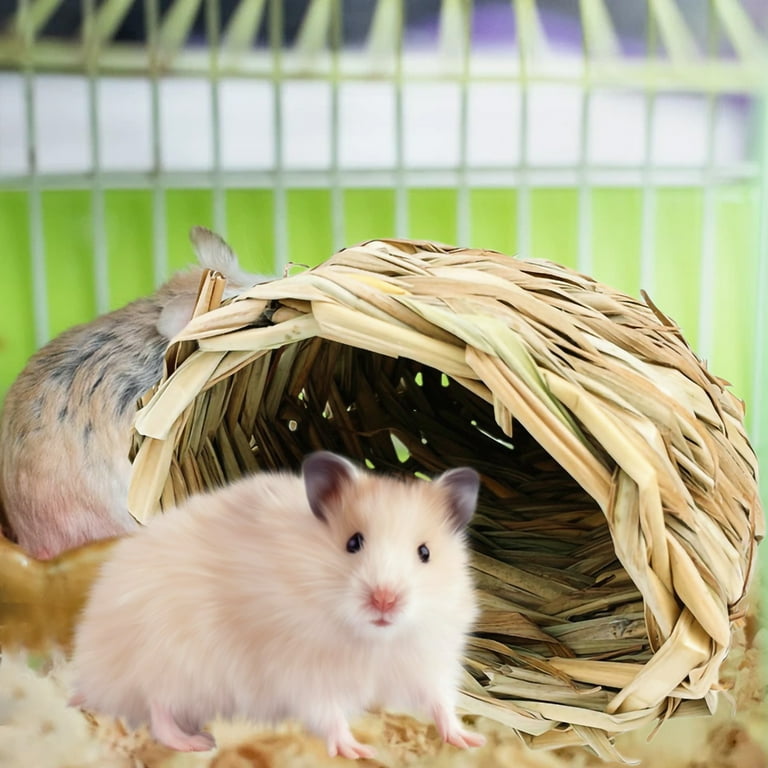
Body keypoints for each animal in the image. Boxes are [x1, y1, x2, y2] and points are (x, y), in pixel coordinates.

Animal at [70, 451, 485, 759]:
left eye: (425, 553)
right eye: (352, 543)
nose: (385, 599)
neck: (372, 640)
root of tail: (91, 670)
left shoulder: (427, 660)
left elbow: (440, 702)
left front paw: (467, 740)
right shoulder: (303, 672)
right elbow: (328, 713)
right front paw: (357, 750)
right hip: (168, 658)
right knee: (156, 708)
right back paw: (195, 742)